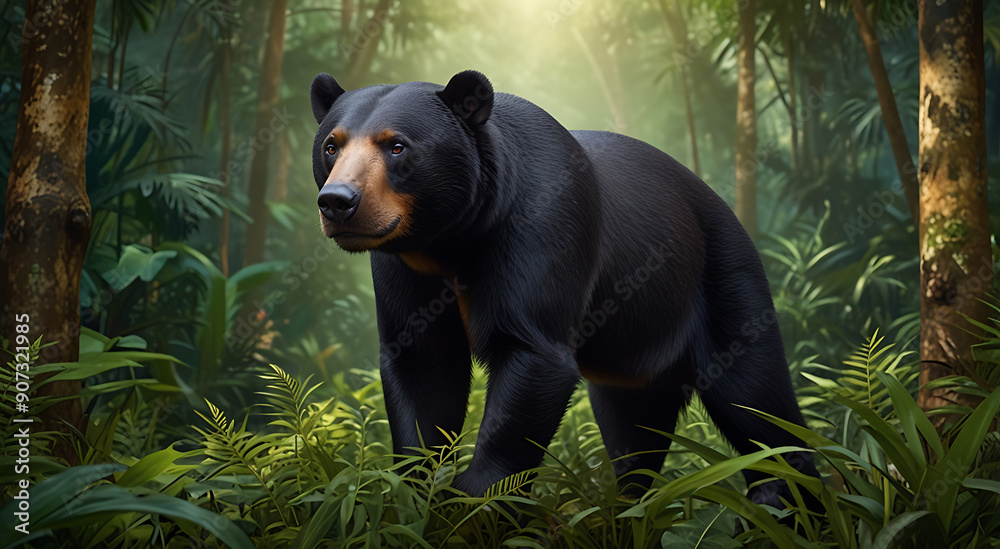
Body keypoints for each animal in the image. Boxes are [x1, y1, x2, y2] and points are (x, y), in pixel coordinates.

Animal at [309, 69, 821, 506]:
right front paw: (415, 492)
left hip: (722, 284)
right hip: (632, 353)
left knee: (759, 403)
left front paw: (474, 503)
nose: (337, 202)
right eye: (332, 146)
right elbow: (423, 370)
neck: (450, 241)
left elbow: (533, 356)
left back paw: (785, 500)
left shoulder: (541, 232)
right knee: (634, 433)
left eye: (396, 146)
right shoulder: (405, 269)